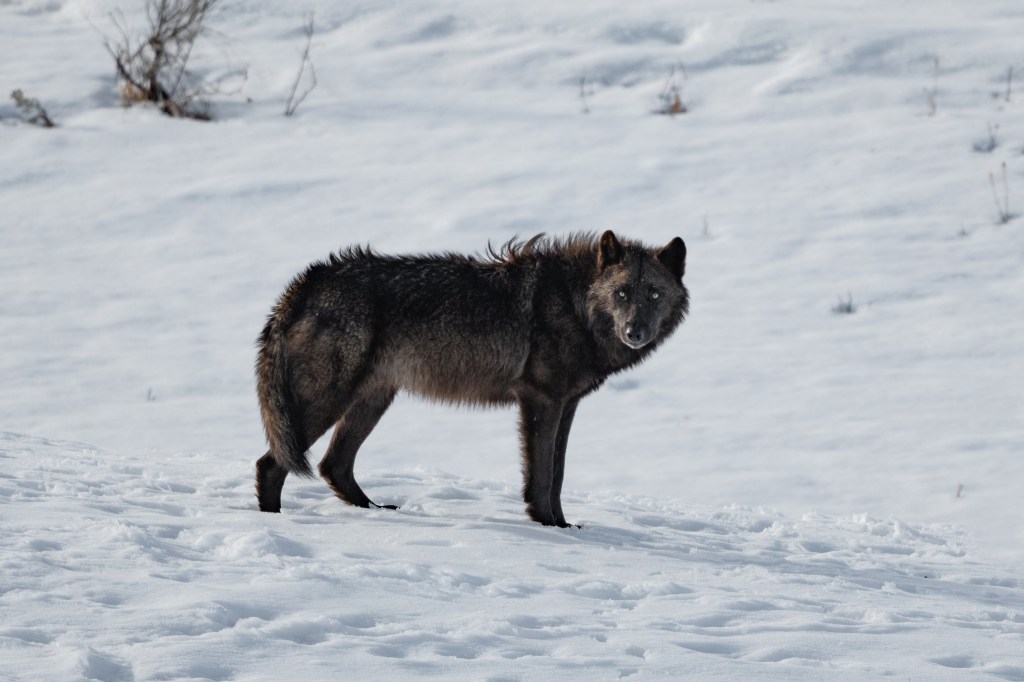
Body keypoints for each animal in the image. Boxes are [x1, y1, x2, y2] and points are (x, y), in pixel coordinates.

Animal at [255, 230, 688, 527]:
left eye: (653, 294)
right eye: (621, 293)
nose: (635, 332)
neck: (574, 303)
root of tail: (308, 281)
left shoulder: (567, 405)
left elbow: (559, 473)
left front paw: (564, 525)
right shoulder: (541, 400)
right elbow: (543, 475)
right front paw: (548, 525)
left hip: (373, 400)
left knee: (334, 465)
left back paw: (375, 510)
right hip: (328, 402)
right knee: (272, 464)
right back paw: (274, 523)